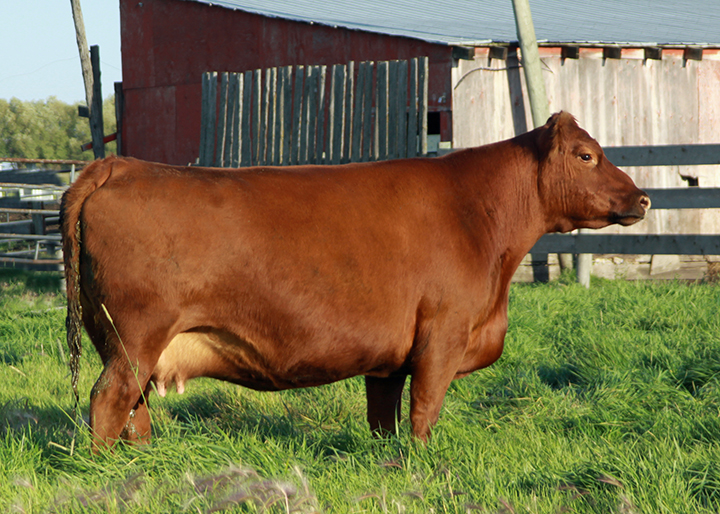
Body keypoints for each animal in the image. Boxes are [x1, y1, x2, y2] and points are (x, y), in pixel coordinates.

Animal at [61, 112, 650, 450]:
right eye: (586, 155)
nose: (642, 198)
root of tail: (120, 164)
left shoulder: (390, 356)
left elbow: (384, 418)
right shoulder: (443, 335)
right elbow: (424, 413)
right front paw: (423, 465)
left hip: (124, 342)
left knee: (133, 407)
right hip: (136, 335)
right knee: (108, 401)